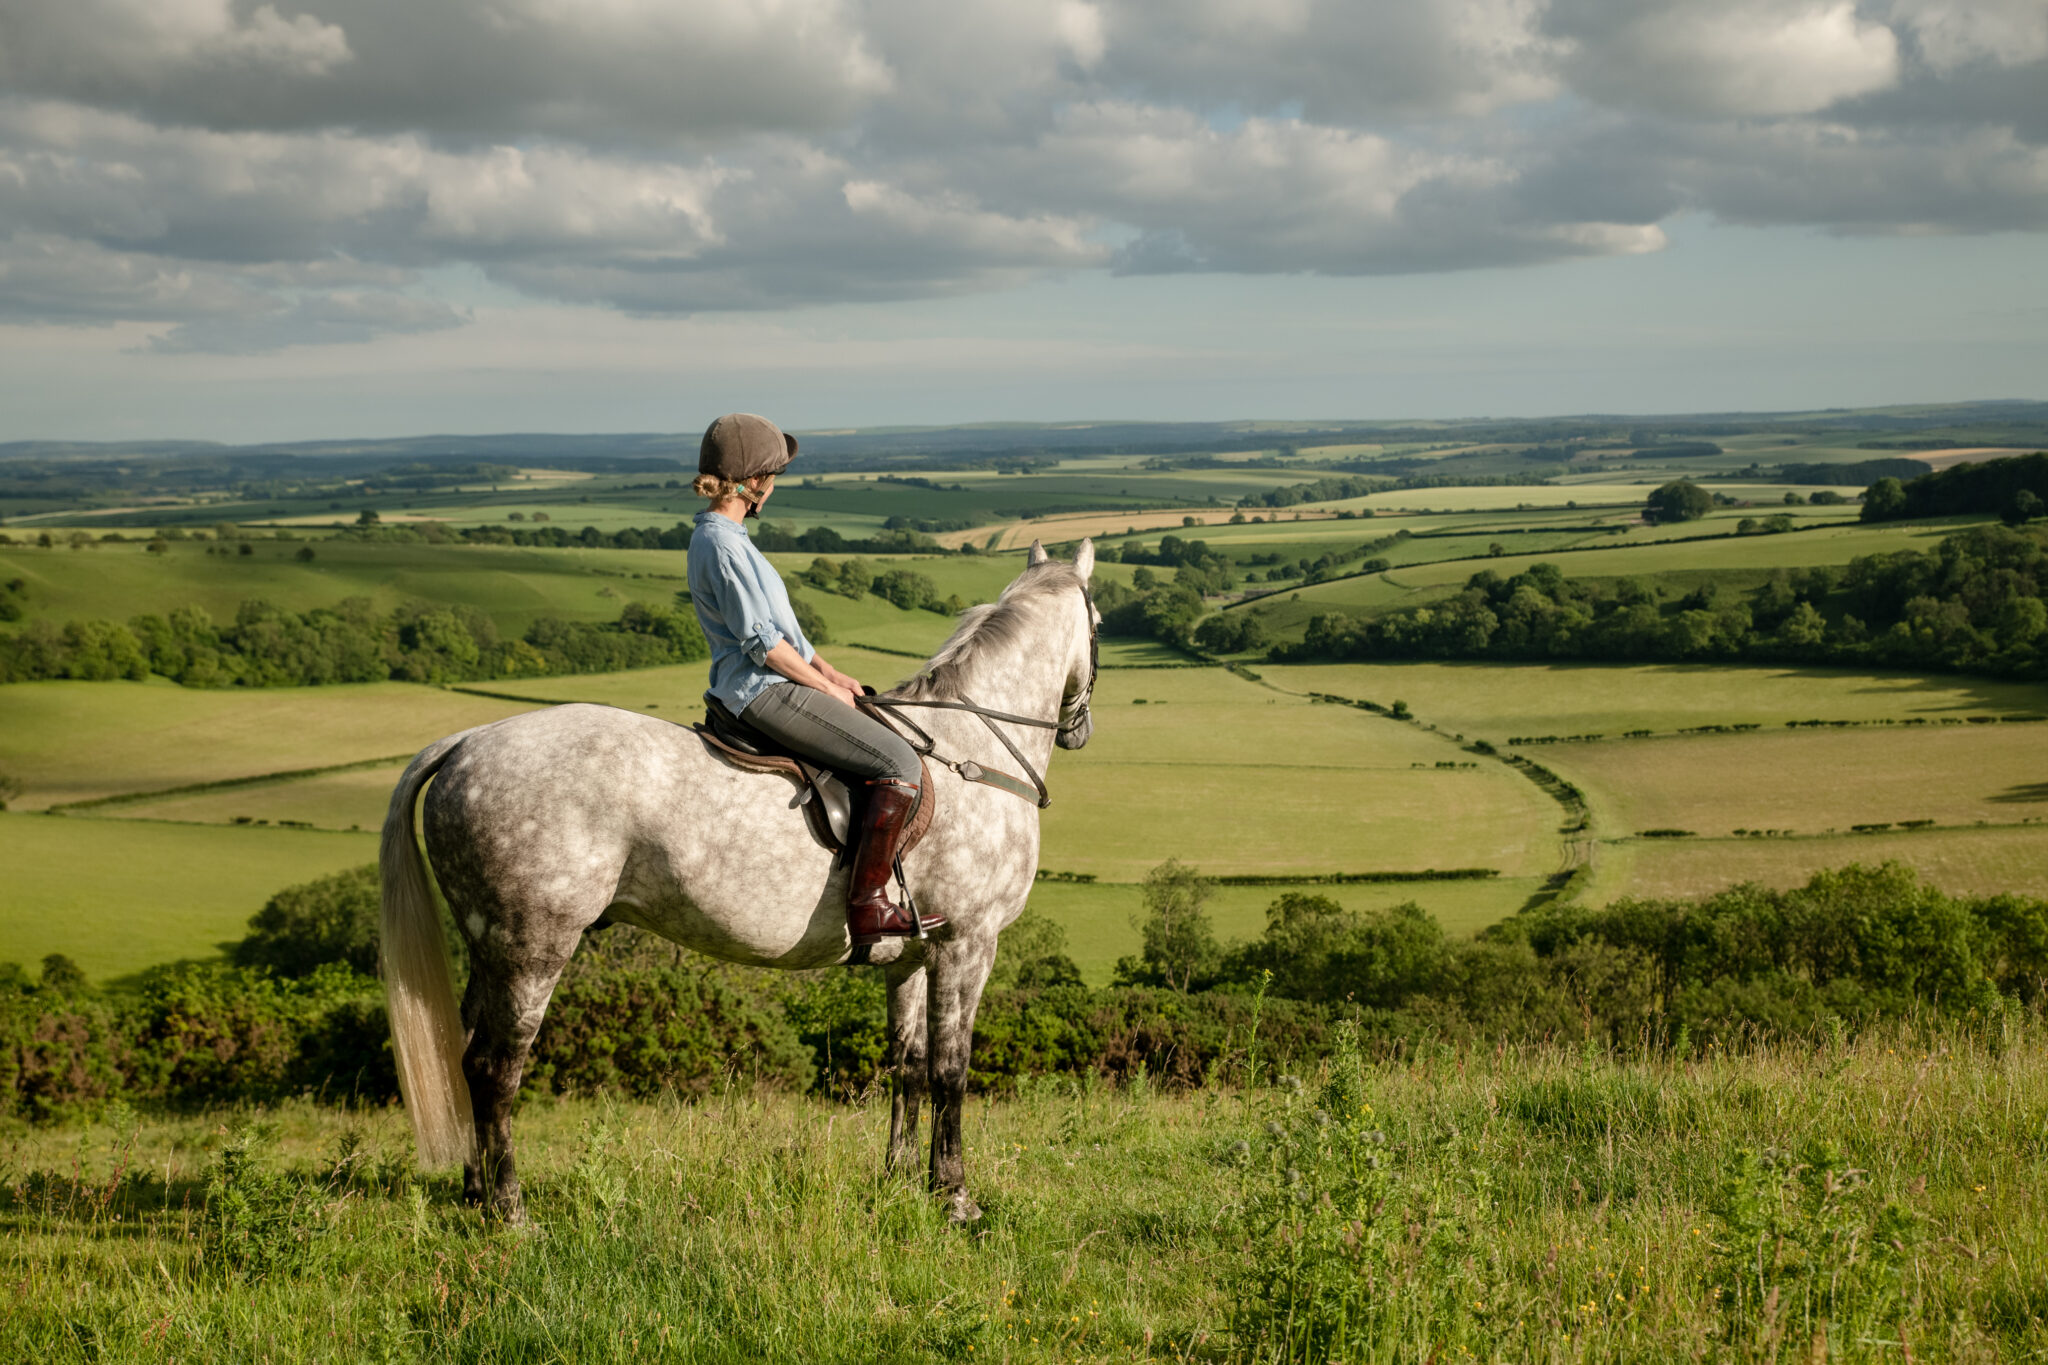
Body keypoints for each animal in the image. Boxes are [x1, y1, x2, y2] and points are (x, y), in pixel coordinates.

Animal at [379, 539, 1100, 1224]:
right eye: (1098, 624)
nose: (1080, 731)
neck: (970, 747)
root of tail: (466, 741)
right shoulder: (968, 944)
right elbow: (951, 1069)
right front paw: (955, 1197)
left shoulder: (913, 955)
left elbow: (908, 1064)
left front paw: (900, 1181)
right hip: (533, 947)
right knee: (496, 1068)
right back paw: (510, 1210)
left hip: (490, 946)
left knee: (465, 1058)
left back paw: (475, 1195)